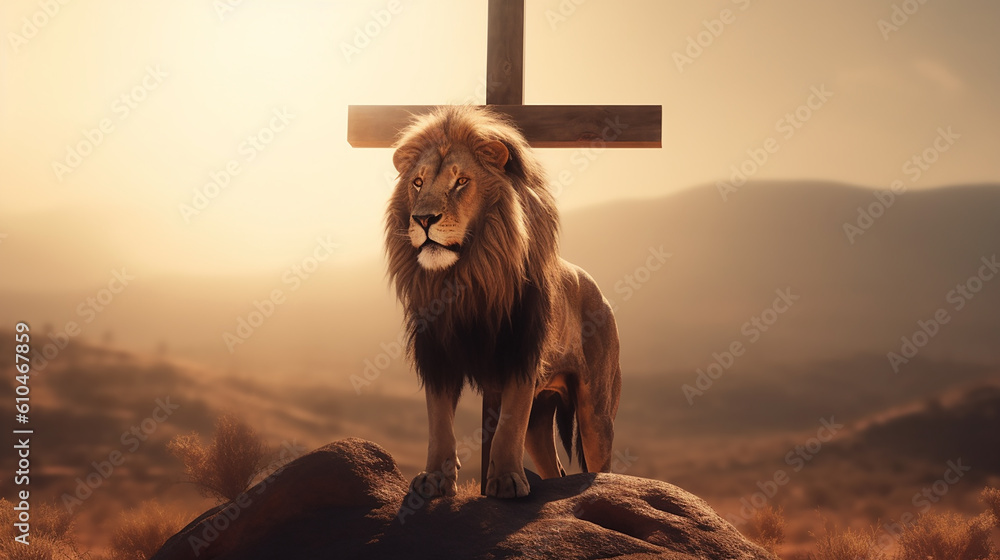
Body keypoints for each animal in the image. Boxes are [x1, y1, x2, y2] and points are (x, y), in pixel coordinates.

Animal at [385, 105, 621, 499]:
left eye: (461, 181)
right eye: (417, 182)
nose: (423, 219)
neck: (466, 276)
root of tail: (601, 296)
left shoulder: (521, 352)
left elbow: (509, 425)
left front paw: (507, 480)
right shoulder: (437, 355)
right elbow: (439, 423)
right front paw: (434, 477)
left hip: (596, 414)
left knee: (601, 465)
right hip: (541, 419)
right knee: (555, 469)